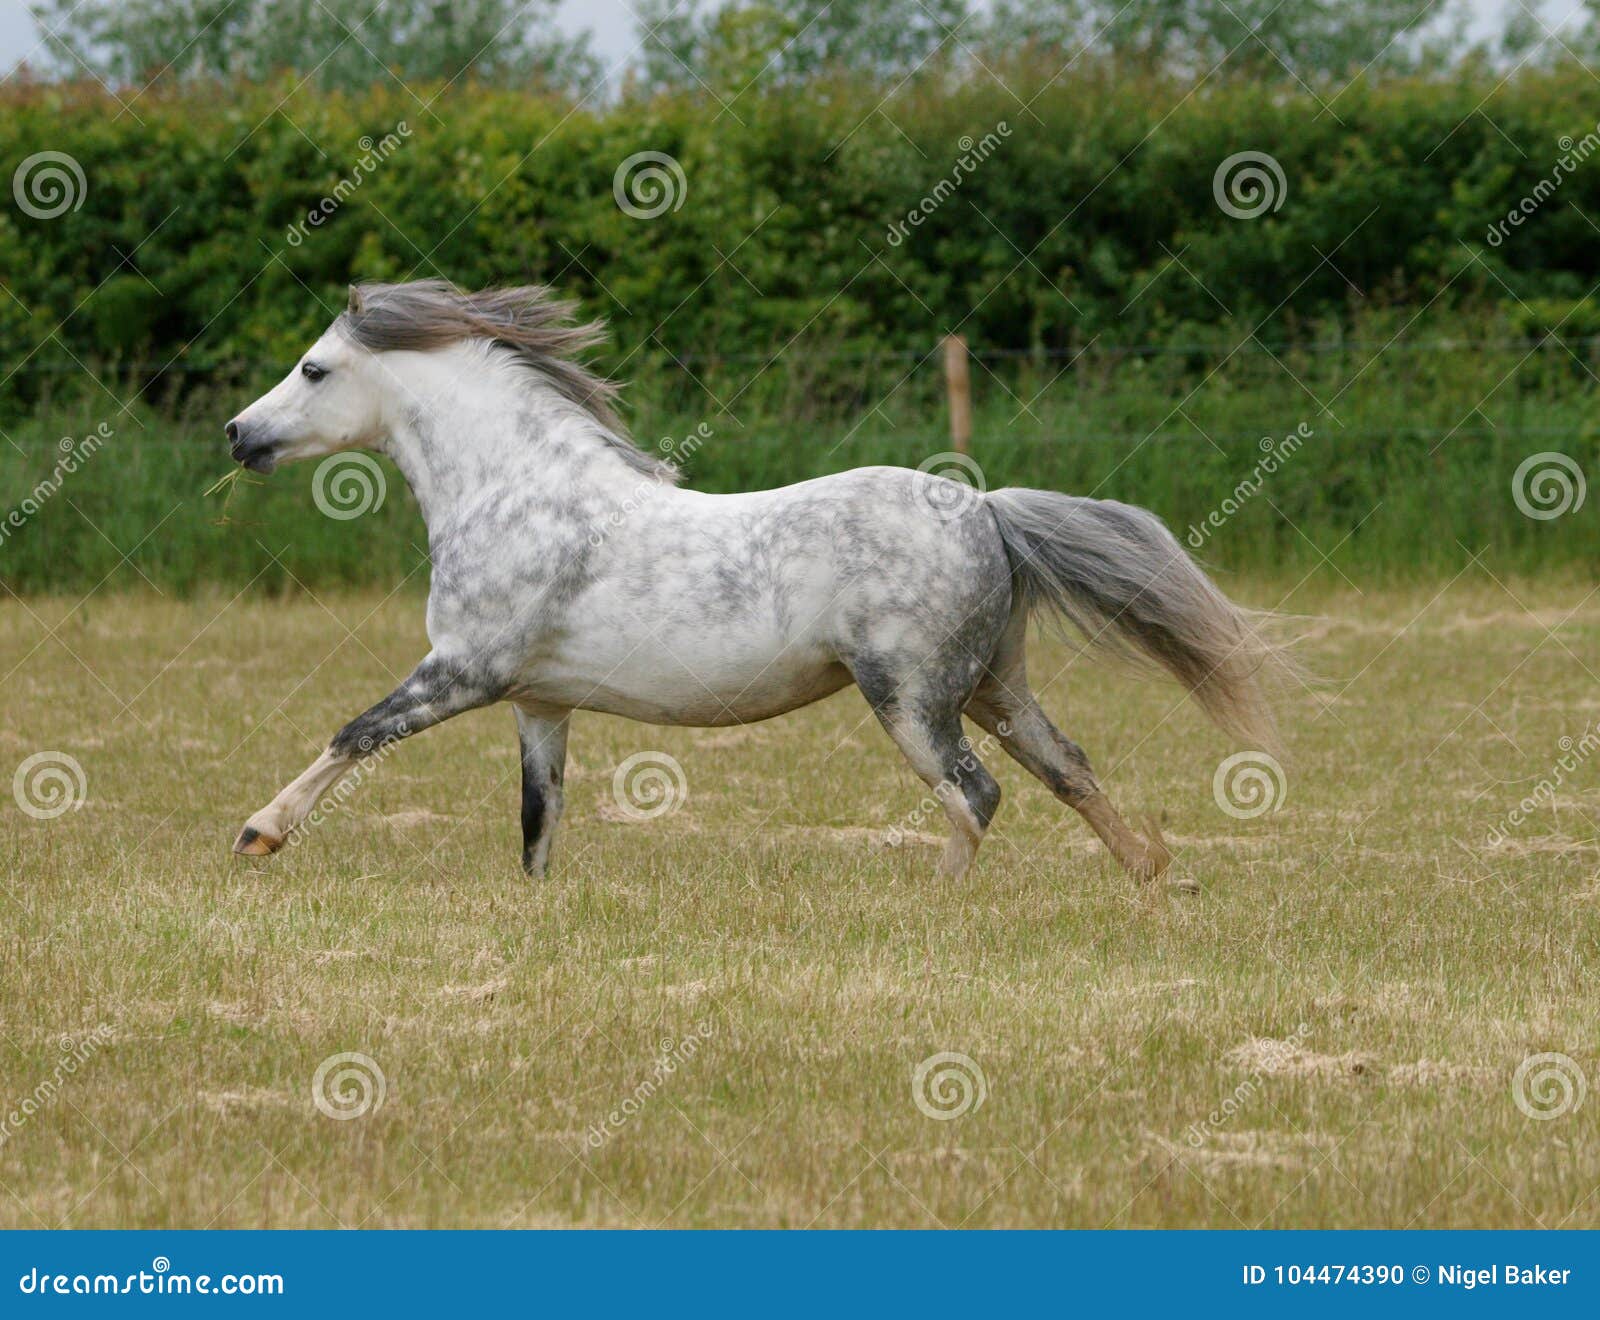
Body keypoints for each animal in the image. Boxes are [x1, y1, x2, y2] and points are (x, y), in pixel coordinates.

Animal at [225, 281, 1288, 883]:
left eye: (314, 369)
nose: (239, 435)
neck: (514, 491)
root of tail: (987, 510)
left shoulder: (462, 671)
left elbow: (354, 733)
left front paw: (257, 836)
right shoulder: (538, 702)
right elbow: (539, 819)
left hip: (909, 697)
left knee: (973, 796)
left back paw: (933, 907)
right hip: (993, 684)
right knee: (1067, 767)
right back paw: (1156, 876)